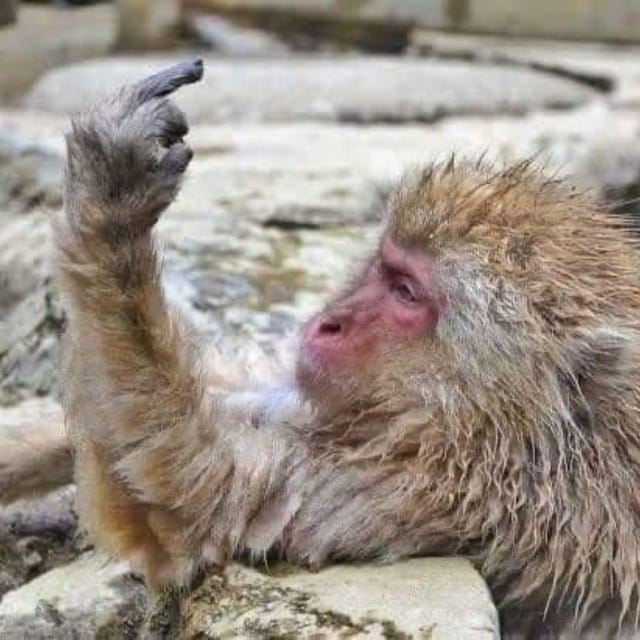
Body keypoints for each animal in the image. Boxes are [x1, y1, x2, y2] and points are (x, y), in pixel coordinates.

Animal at [43, 57, 640, 636]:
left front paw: (111, 214)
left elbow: (200, 492)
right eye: (386, 266)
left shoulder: (436, 493)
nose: (328, 324)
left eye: (406, 293)